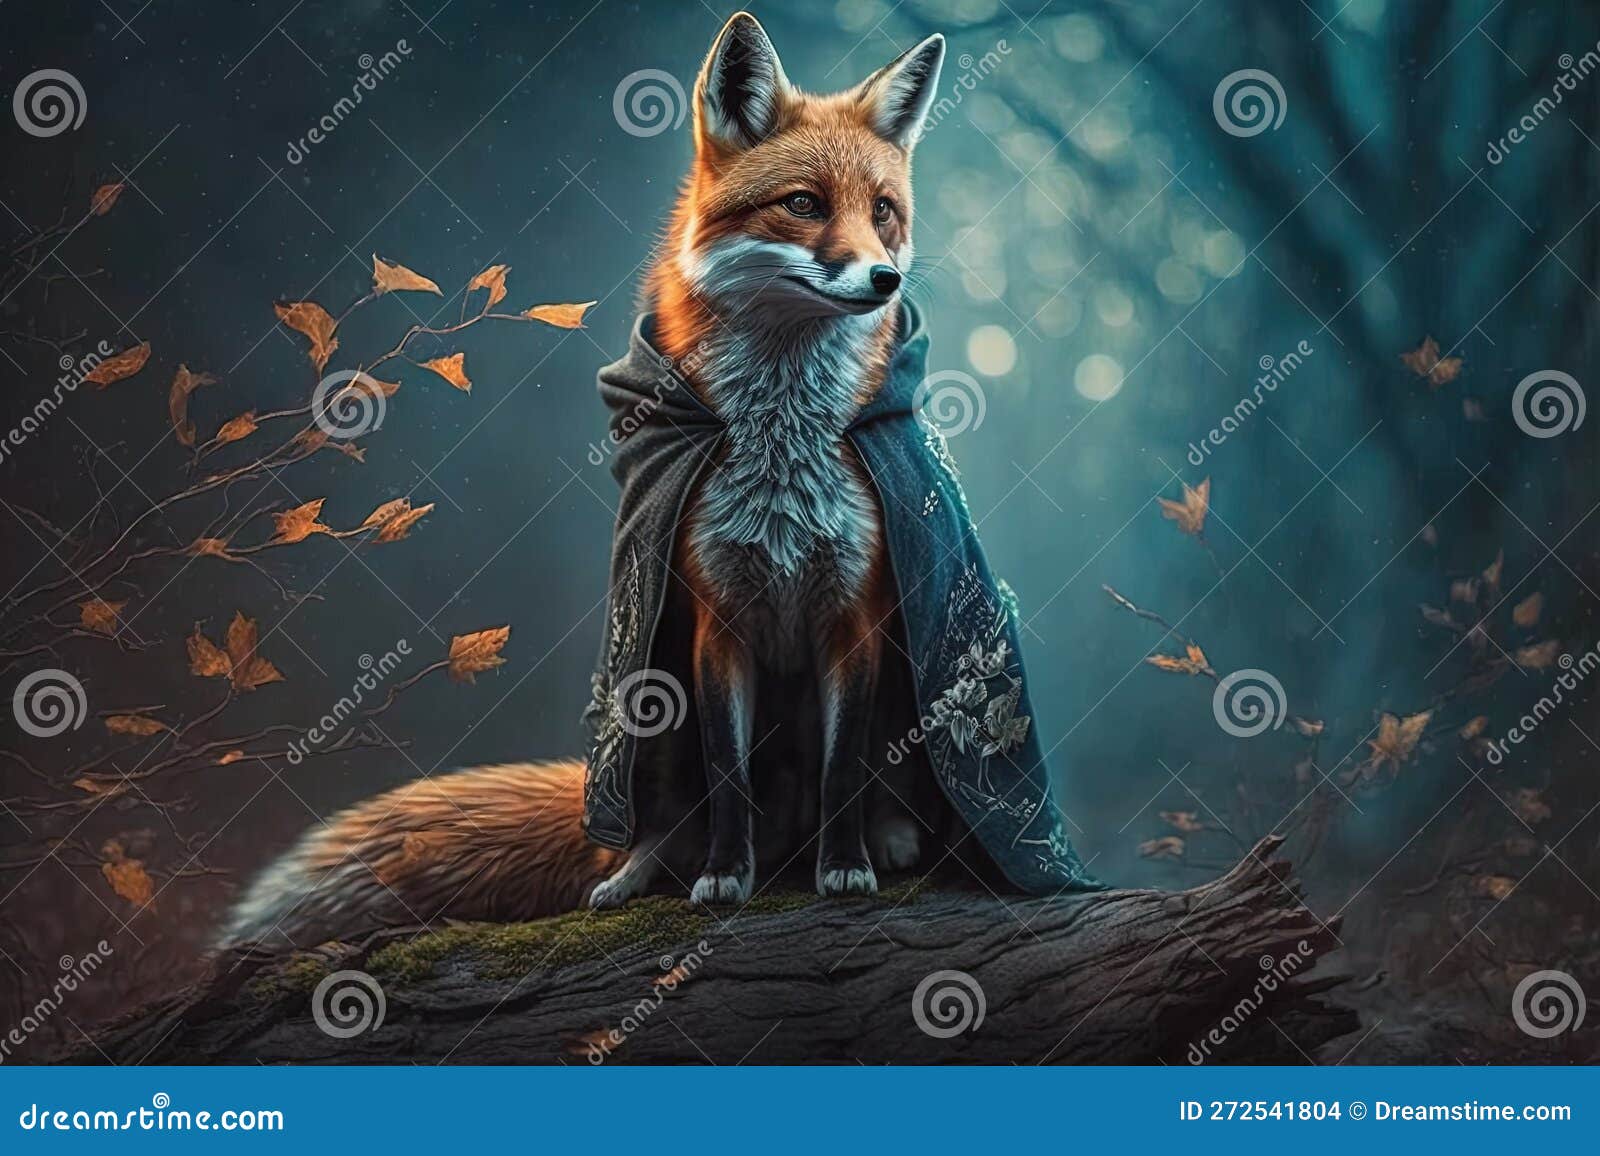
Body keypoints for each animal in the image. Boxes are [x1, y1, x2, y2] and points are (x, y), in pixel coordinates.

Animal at [219, 13, 951, 949]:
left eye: (883, 212)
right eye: (805, 204)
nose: (884, 279)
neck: (781, 461)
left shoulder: (854, 617)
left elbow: (845, 764)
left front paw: (846, 866)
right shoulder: (713, 621)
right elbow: (728, 775)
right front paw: (723, 877)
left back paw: (883, 840)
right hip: (658, 701)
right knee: (670, 817)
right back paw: (639, 872)